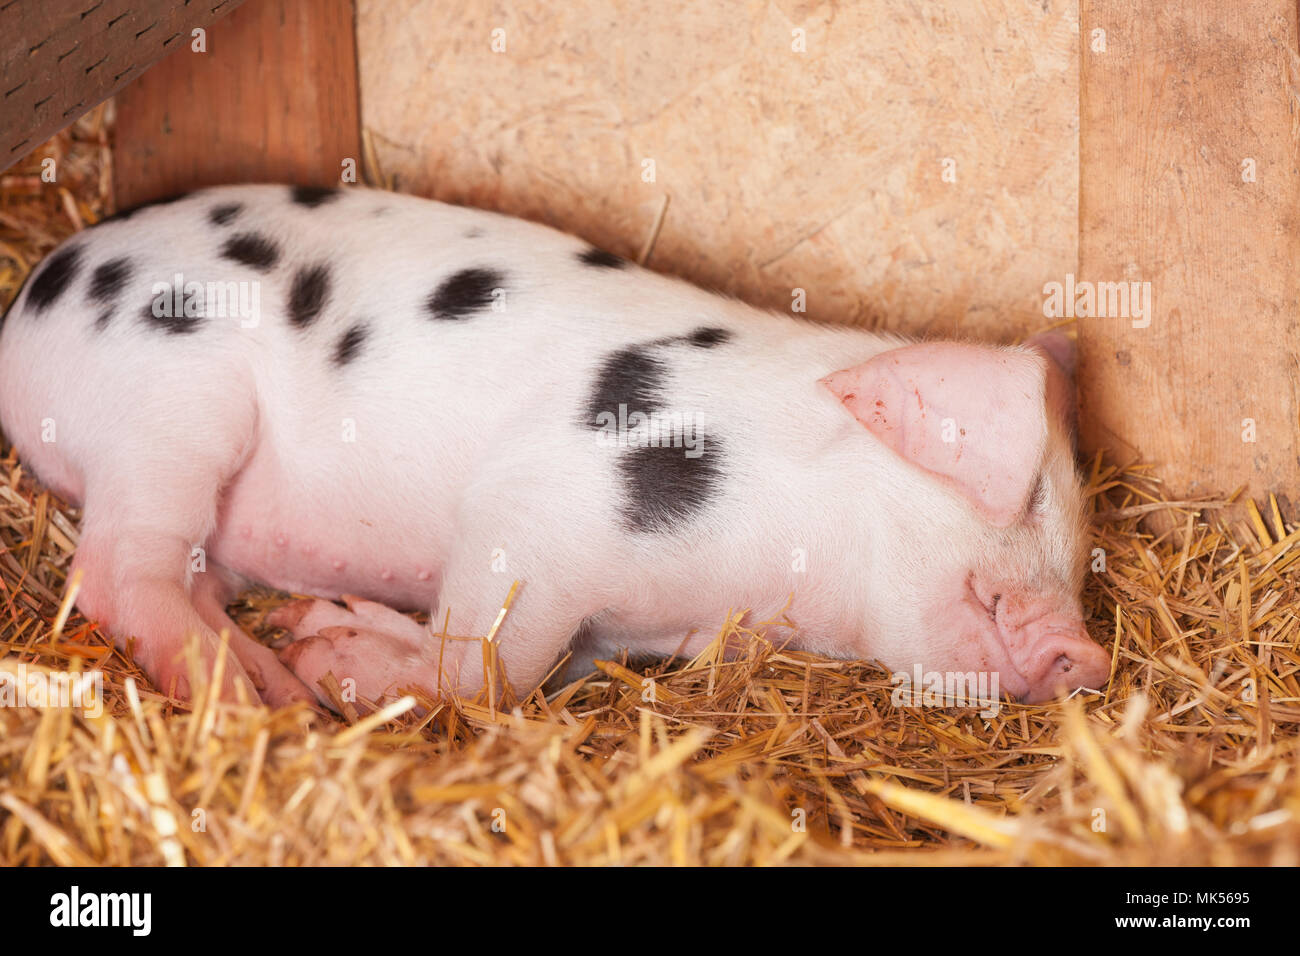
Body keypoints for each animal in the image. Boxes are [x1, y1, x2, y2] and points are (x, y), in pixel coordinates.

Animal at [0, 184, 1111, 709]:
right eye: (1031, 498)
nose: (1089, 654)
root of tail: (26, 306)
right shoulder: (557, 496)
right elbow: (491, 654)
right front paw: (329, 647)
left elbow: (535, 667)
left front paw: (323, 638)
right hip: (173, 395)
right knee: (117, 566)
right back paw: (253, 694)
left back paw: (260, 662)